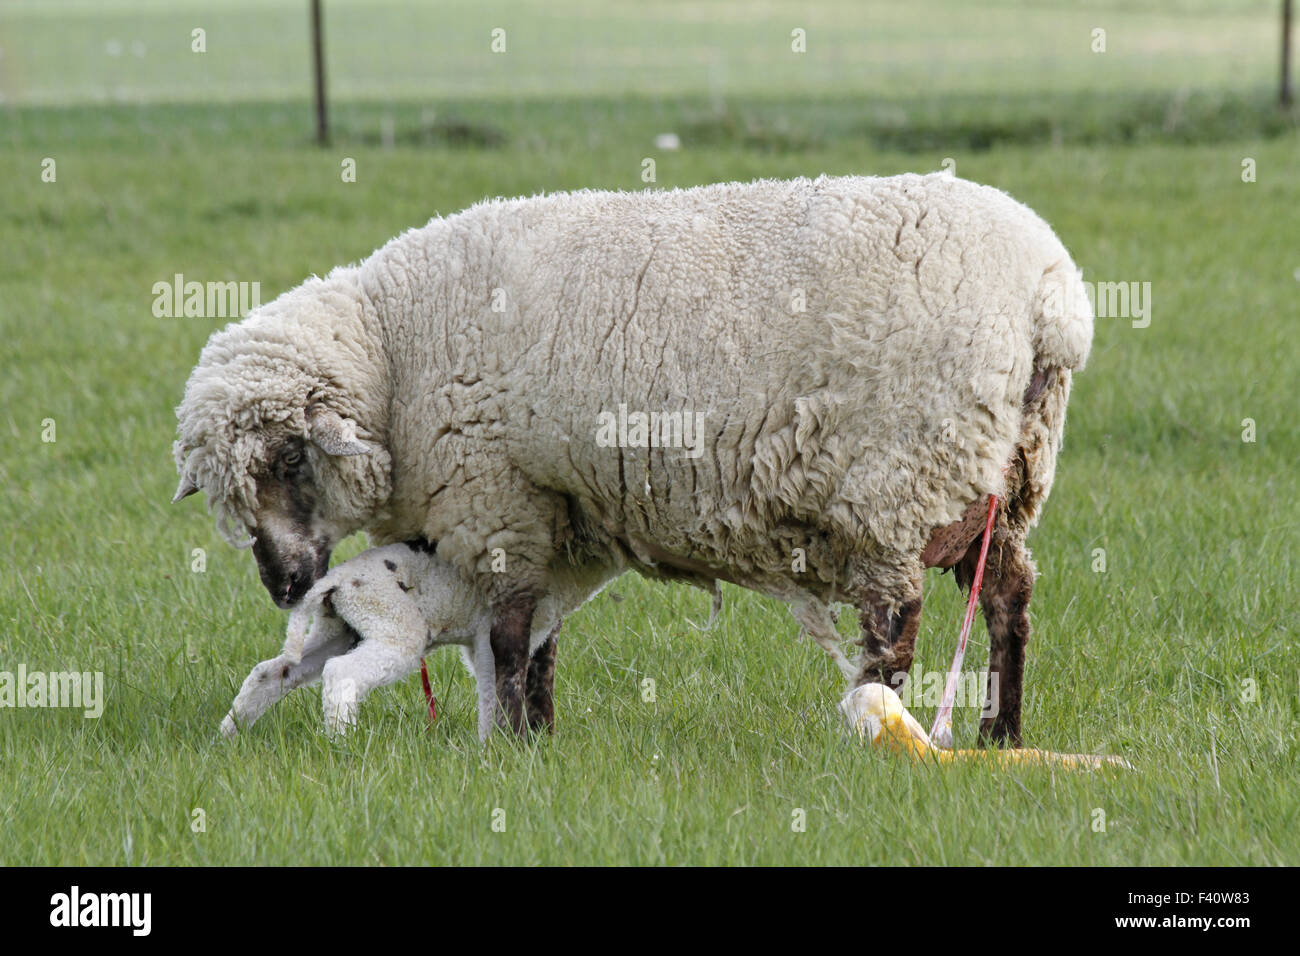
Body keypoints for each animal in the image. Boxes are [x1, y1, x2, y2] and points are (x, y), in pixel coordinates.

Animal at [220, 539, 617, 739]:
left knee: (272, 672)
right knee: (341, 673)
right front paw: (495, 746)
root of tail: (335, 582)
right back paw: (342, 742)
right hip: (392, 623)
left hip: (339, 628)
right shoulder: (494, 634)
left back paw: (229, 733)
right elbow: (497, 687)